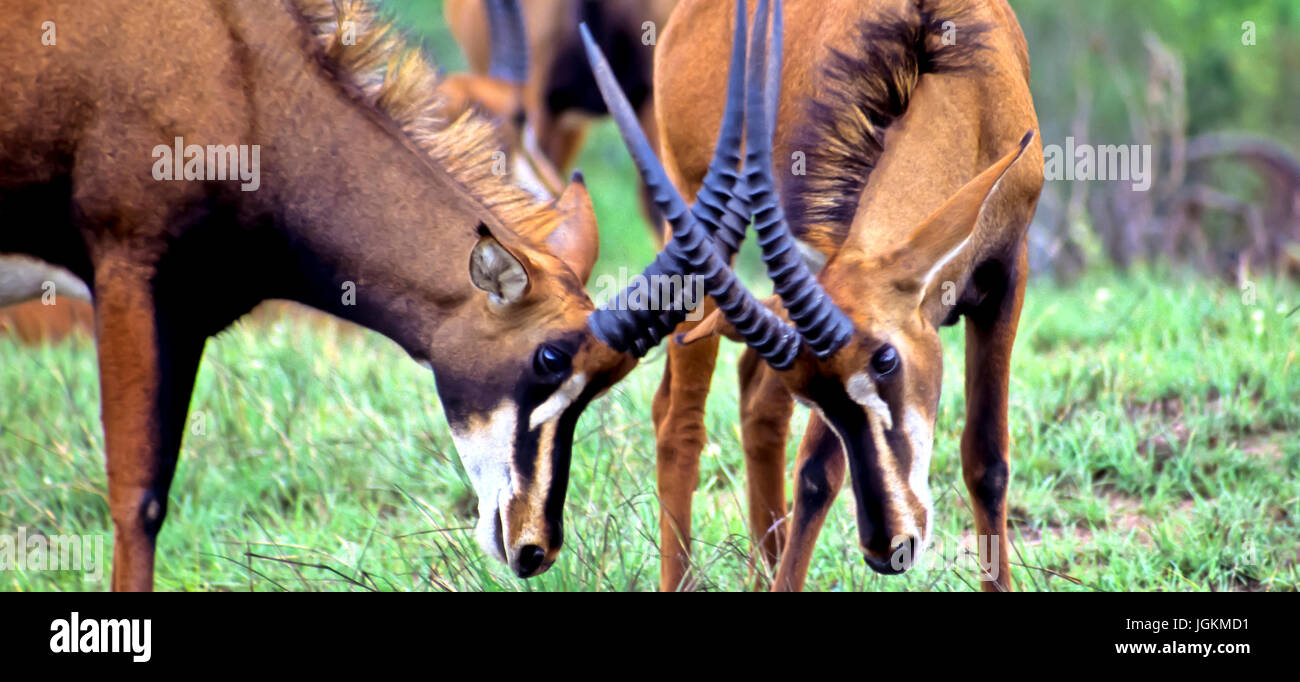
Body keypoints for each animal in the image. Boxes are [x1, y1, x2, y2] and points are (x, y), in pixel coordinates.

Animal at [0, 0, 674, 590]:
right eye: (550, 357)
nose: (537, 547)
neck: (244, 73)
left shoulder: (186, 314)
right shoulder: (127, 271)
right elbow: (138, 499)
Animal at [589, 0, 1044, 590]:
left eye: (887, 360)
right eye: (816, 398)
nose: (887, 550)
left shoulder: (1007, 277)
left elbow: (986, 459)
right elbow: (815, 472)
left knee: (755, 398)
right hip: (695, 225)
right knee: (677, 415)